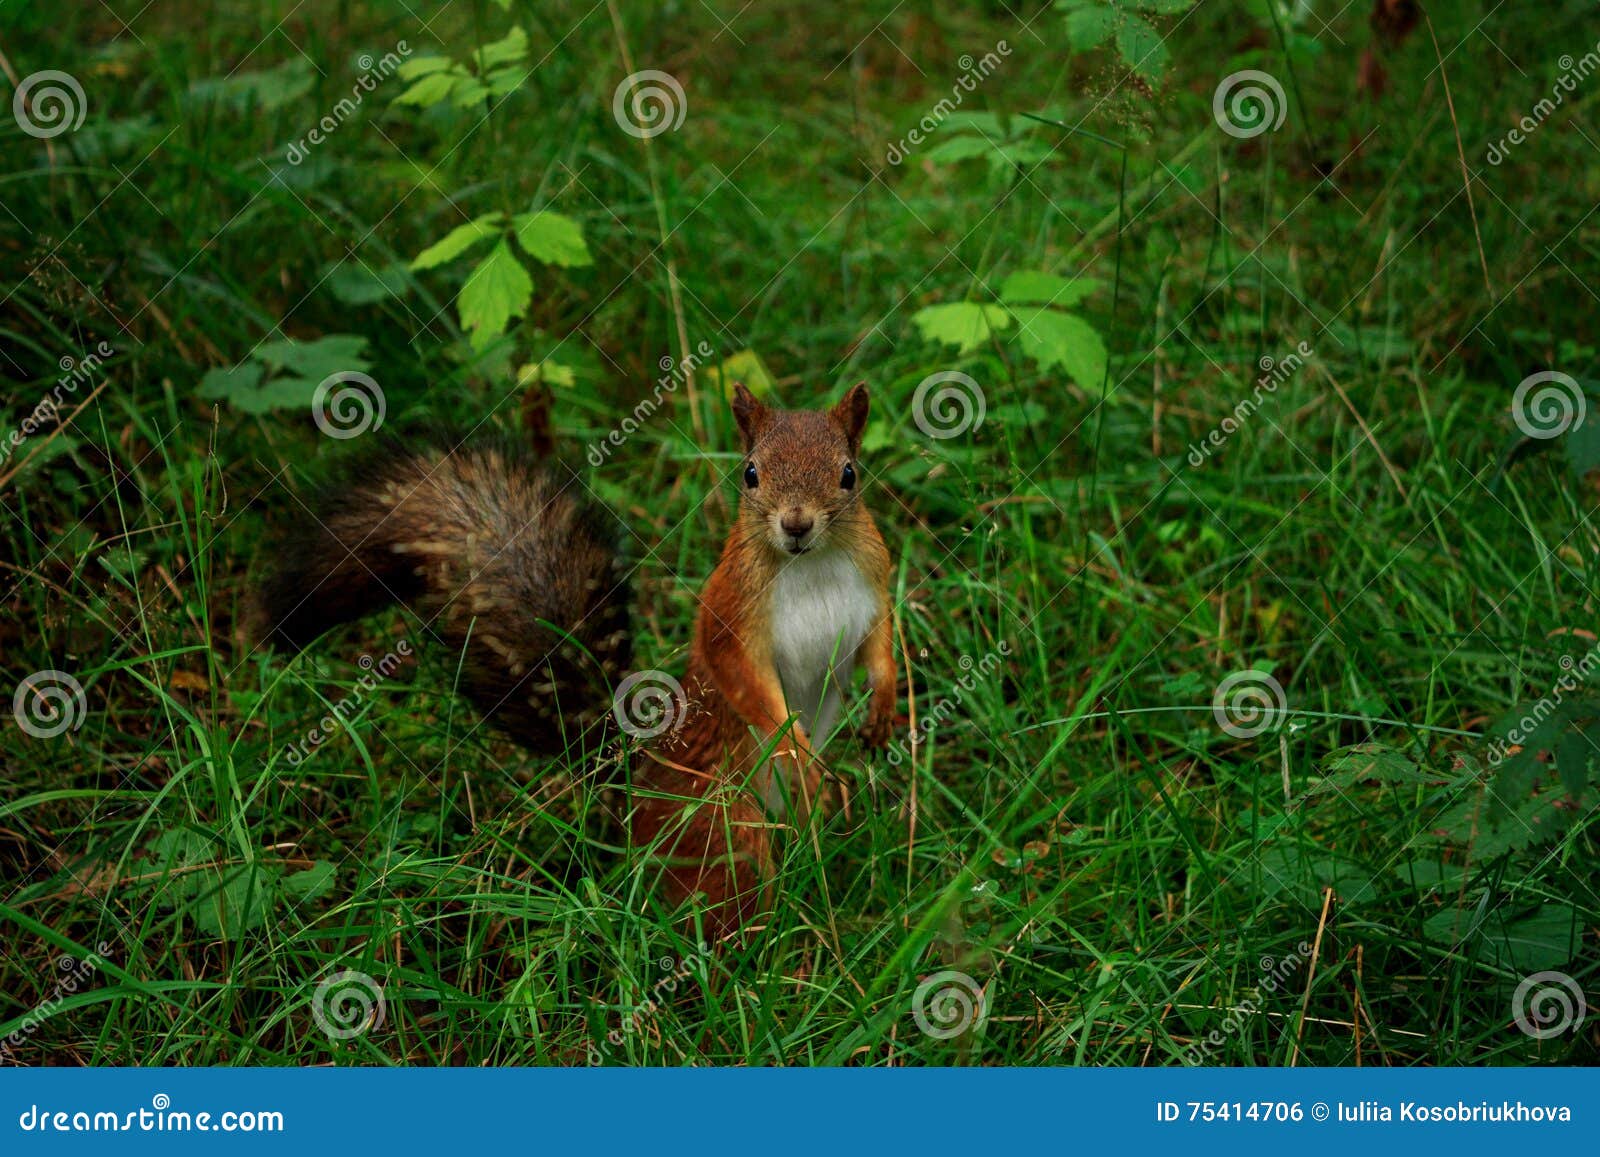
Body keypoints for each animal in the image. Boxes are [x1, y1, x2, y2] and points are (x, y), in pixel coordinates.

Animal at [259, 382, 895, 926]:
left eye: (848, 474)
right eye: (751, 473)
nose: (796, 524)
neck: (811, 564)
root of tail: (633, 792)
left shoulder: (874, 579)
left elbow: (880, 643)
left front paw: (884, 710)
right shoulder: (730, 607)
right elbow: (738, 673)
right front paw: (796, 744)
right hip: (716, 825)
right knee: (728, 890)